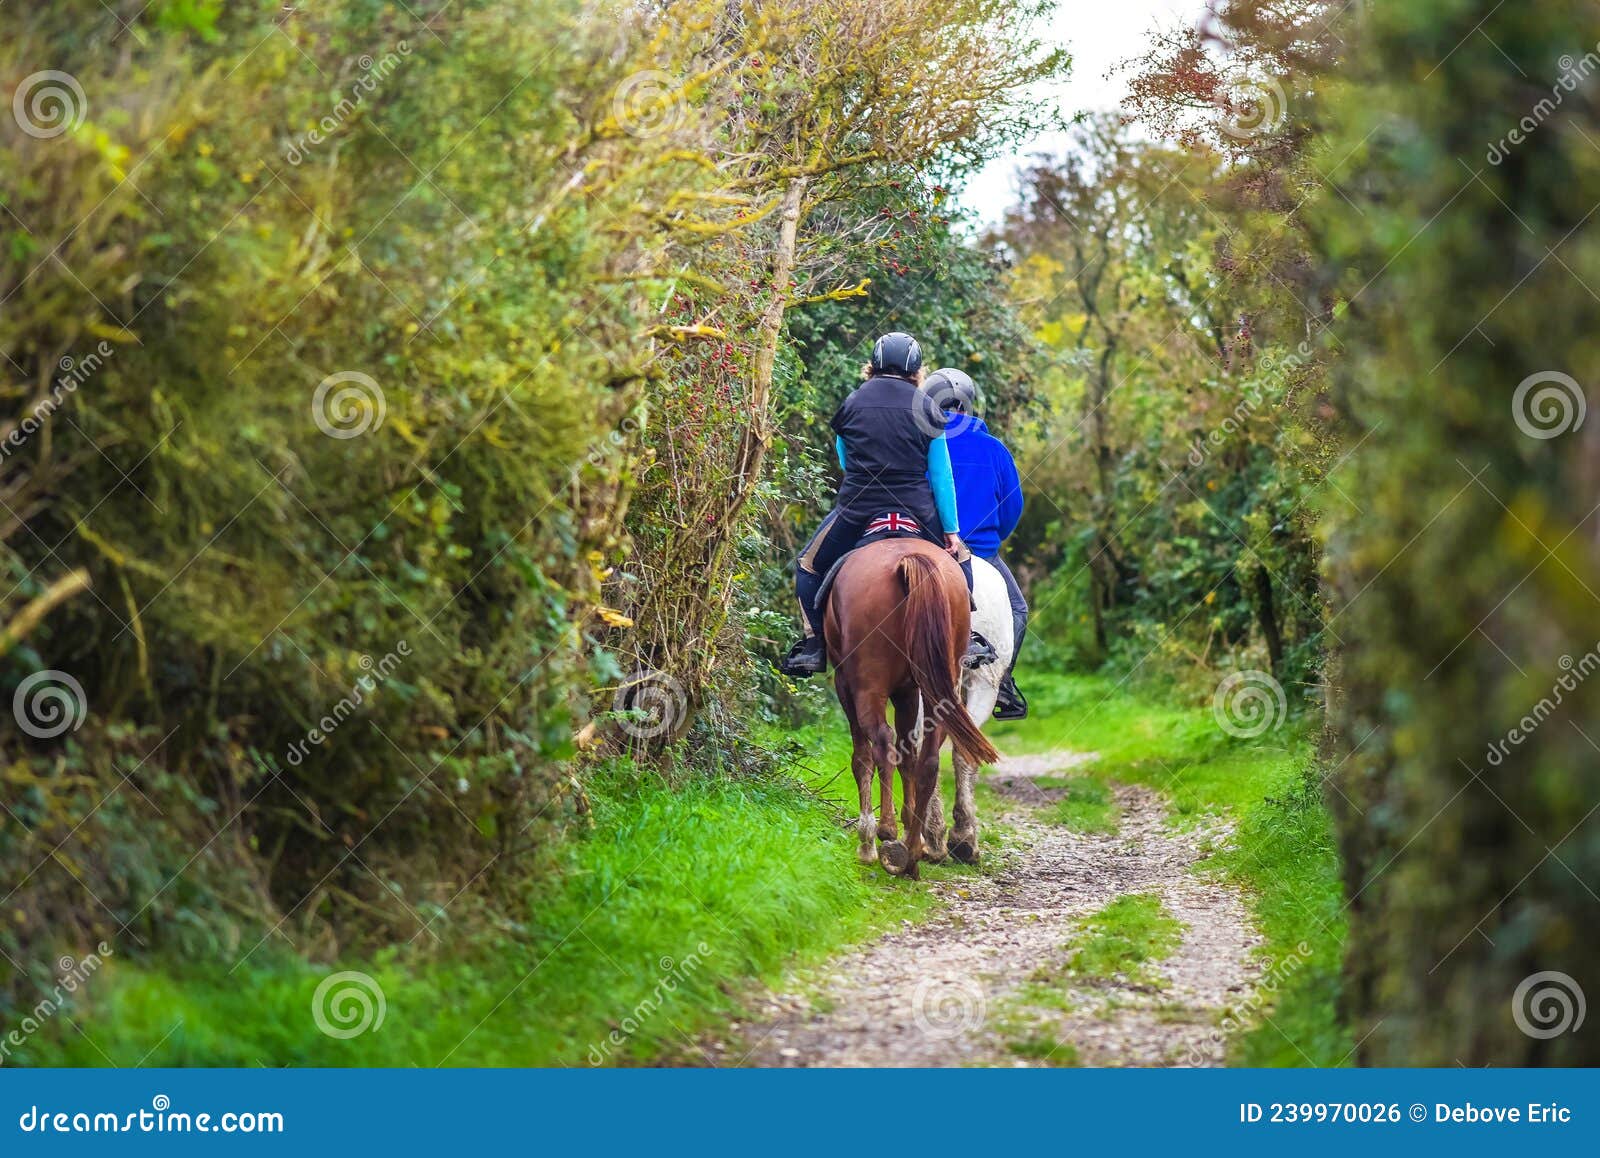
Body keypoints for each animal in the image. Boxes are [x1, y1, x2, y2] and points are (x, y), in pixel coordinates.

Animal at [825, 537, 1000, 879]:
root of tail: (909, 558)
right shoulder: (908, 691)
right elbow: (909, 757)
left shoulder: (845, 683)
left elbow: (863, 758)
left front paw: (868, 843)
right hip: (941, 686)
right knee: (929, 757)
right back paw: (915, 850)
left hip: (868, 686)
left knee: (881, 743)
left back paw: (886, 836)